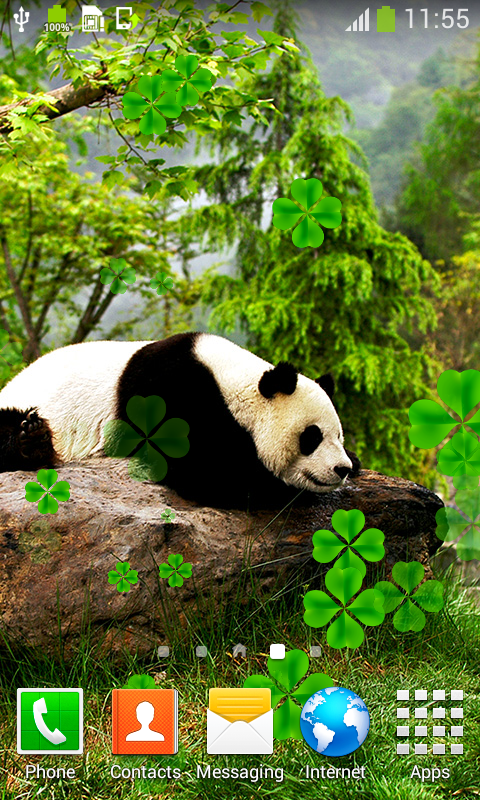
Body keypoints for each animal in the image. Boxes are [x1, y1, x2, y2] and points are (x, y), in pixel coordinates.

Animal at [0, 332, 358, 507]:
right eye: (311, 437)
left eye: (339, 436)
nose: (341, 469)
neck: (234, 382)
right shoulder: (170, 391)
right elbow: (206, 469)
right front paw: (277, 487)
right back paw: (32, 440)